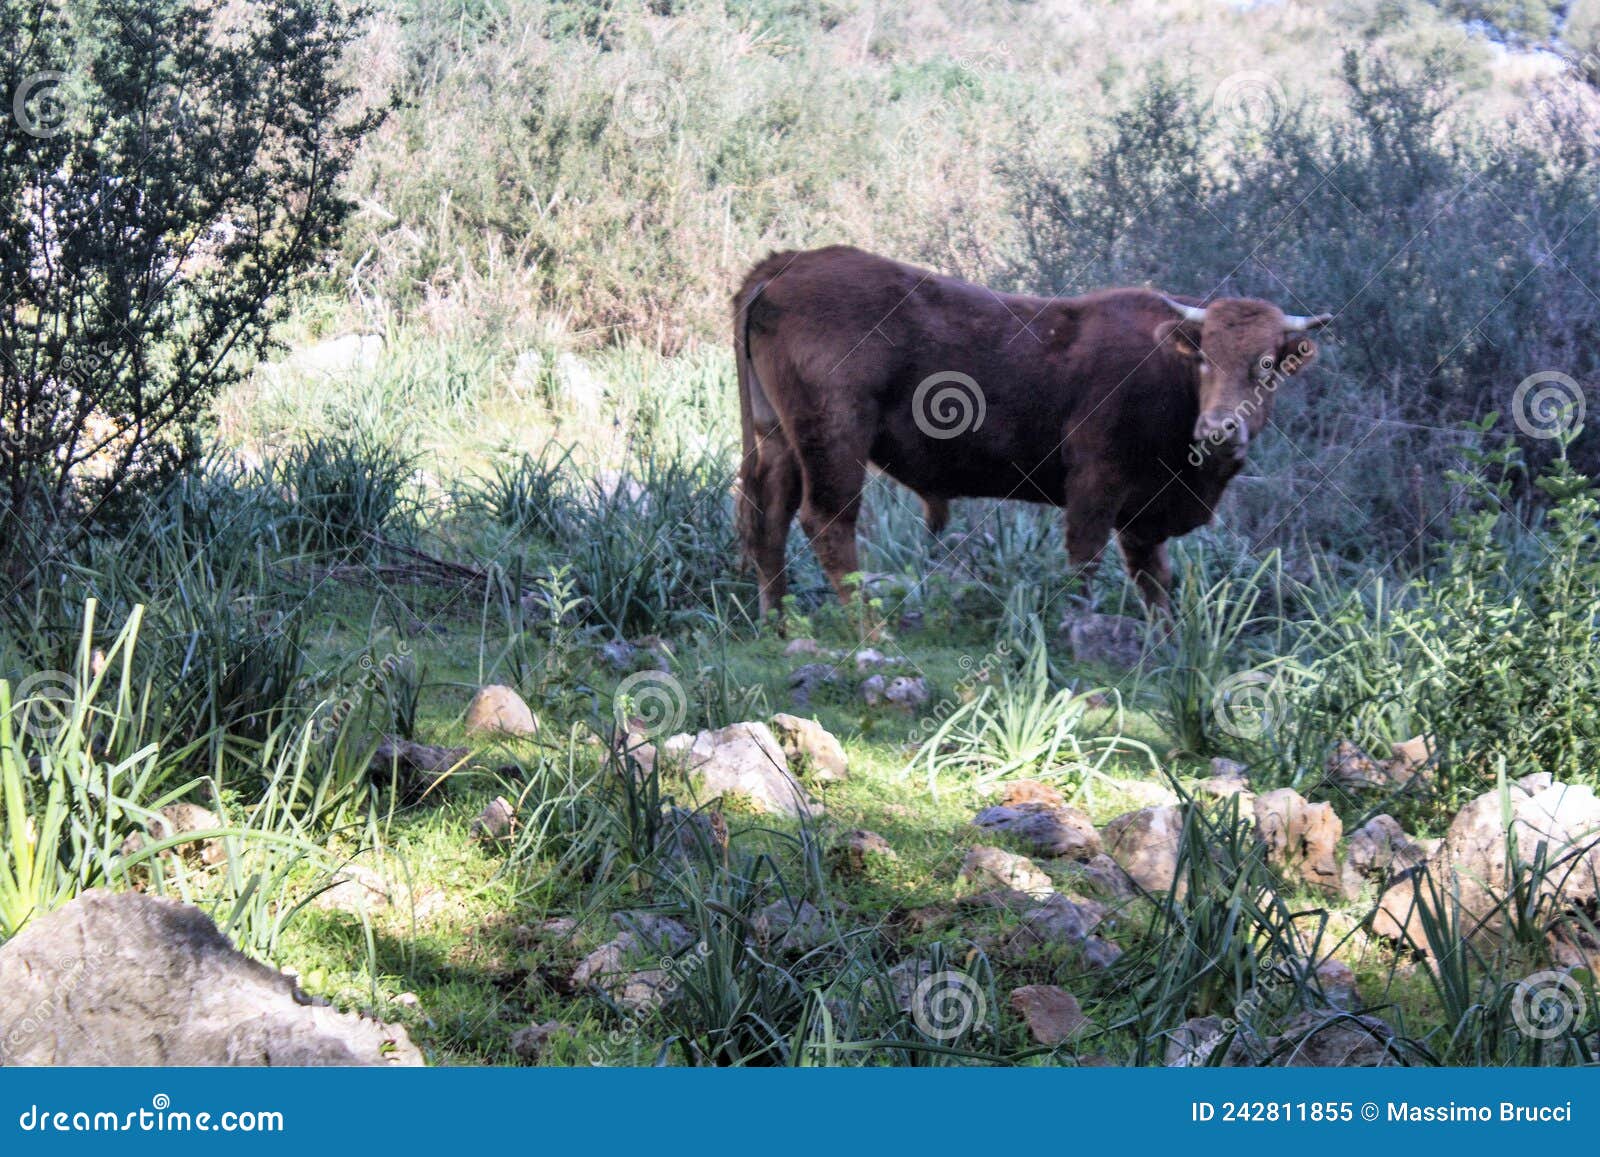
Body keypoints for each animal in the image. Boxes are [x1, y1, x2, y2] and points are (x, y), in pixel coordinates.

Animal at [733, 245, 1330, 617]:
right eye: (1204, 358)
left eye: (1267, 365)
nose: (1218, 427)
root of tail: (784, 265)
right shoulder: (1096, 482)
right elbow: (1085, 562)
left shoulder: (1143, 516)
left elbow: (1154, 582)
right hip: (835, 439)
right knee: (828, 522)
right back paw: (872, 631)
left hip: (777, 438)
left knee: (767, 519)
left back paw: (778, 626)